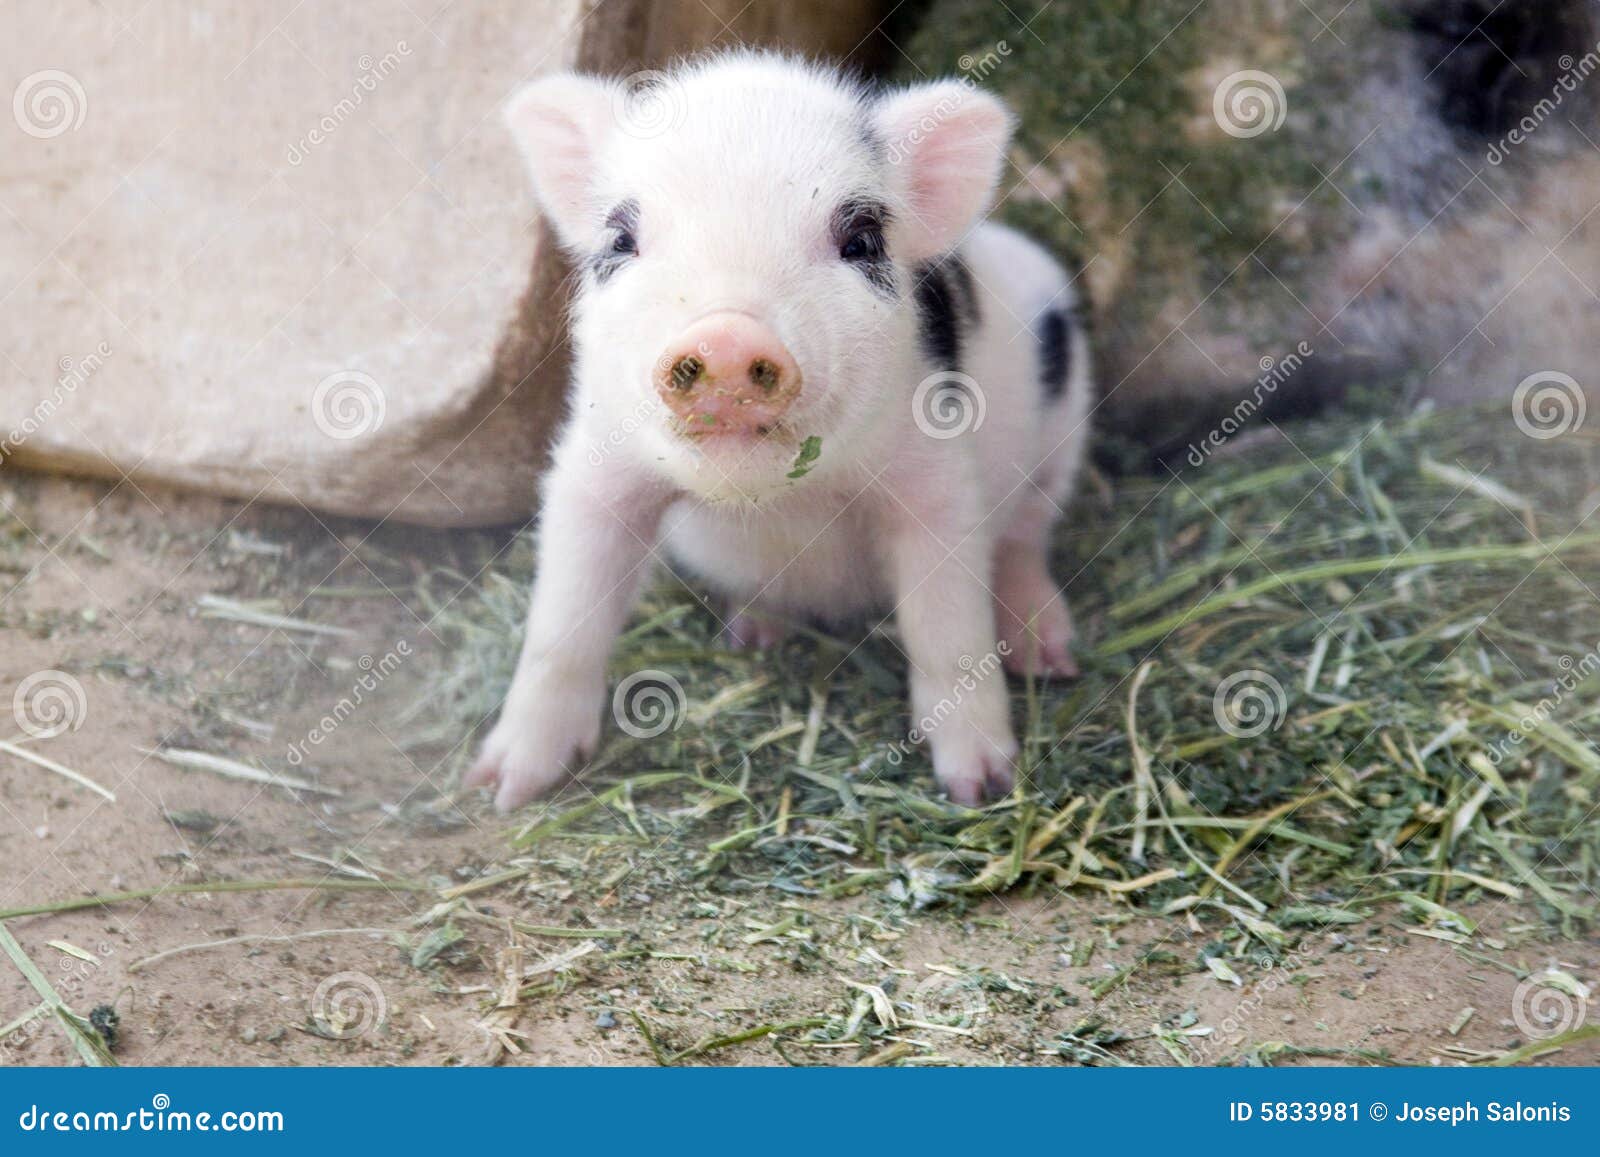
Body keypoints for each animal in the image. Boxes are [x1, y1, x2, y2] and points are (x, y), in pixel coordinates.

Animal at [467, 51, 1092, 811]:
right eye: (621, 239)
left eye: (860, 241)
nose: (727, 336)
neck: (783, 503)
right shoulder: (594, 467)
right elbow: (561, 624)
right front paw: (502, 788)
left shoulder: (936, 477)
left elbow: (947, 629)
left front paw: (981, 786)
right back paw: (752, 634)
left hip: (1066, 413)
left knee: (1029, 534)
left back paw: (1049, 657)